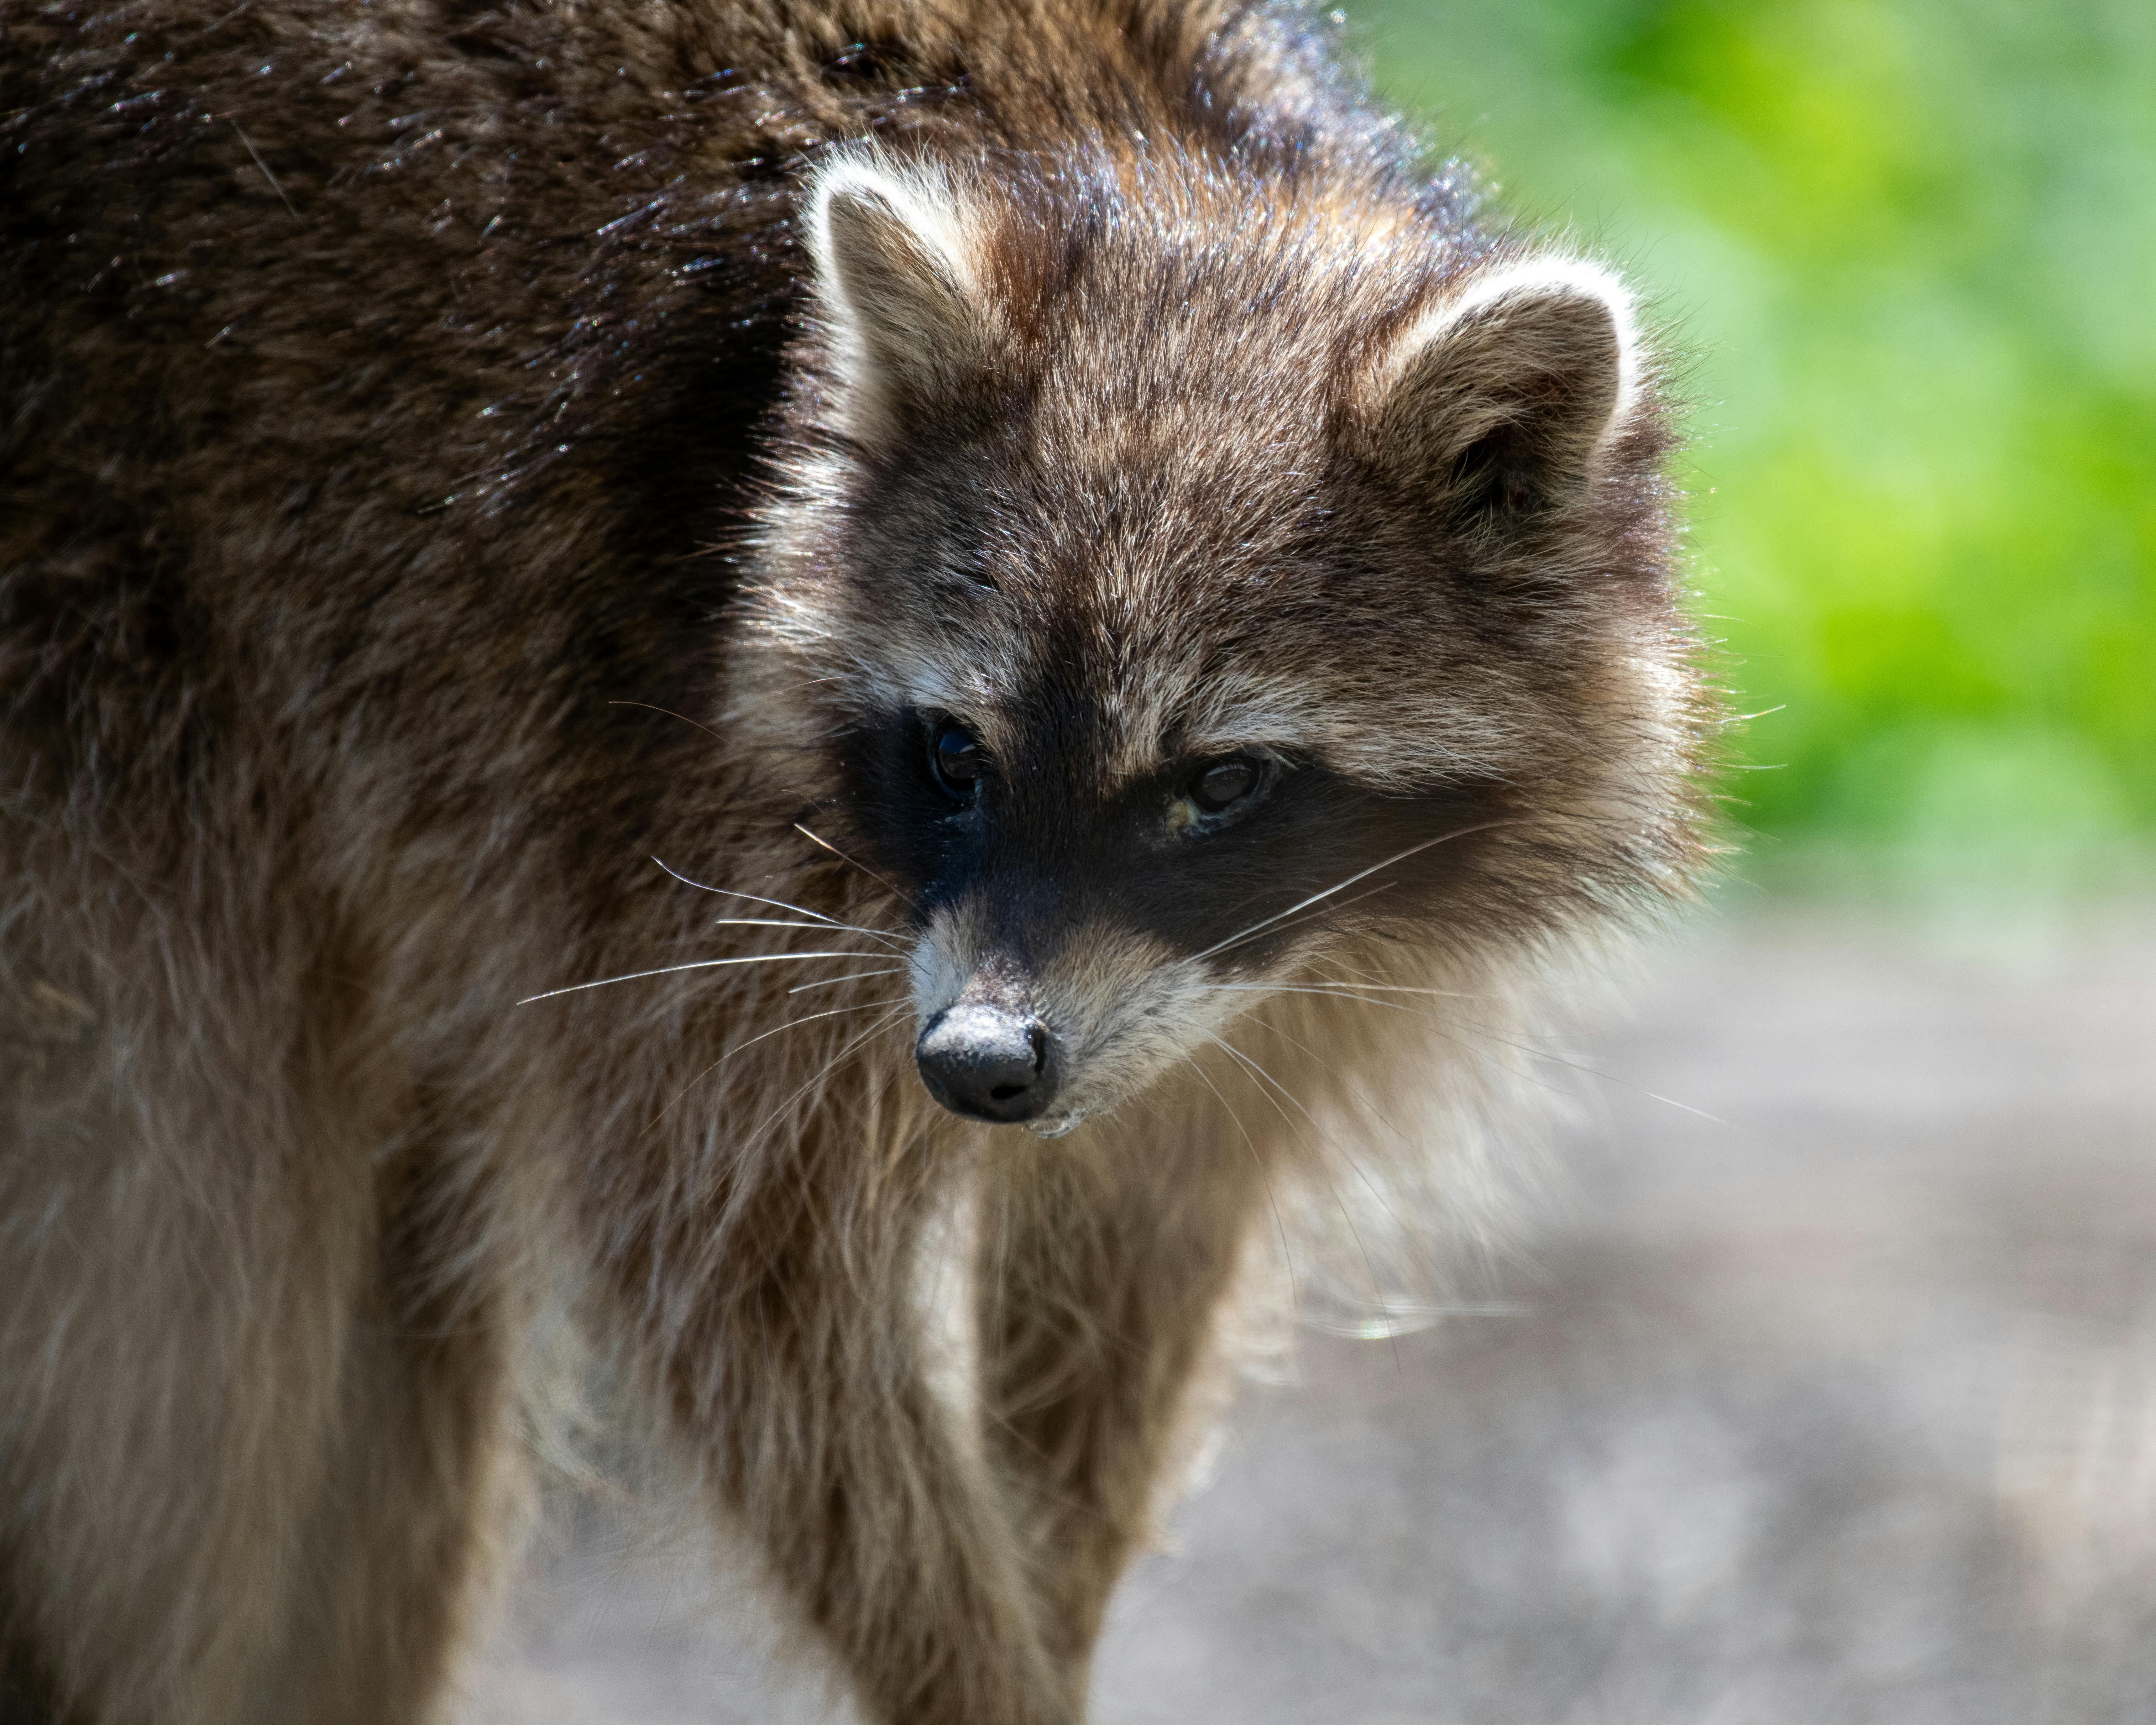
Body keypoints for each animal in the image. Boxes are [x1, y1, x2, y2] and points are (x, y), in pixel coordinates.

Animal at [0, 0, 1710, 1720]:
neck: (1176, 176)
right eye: (955, 751)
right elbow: (751, 1303)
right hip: (128, 704)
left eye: (1220, 781)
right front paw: (975, 1673)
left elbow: (1115, 1280)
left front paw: (1049, 1606)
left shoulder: (1246, 1003)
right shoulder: (636, 801)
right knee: (191, 1320)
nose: (978, 1063)